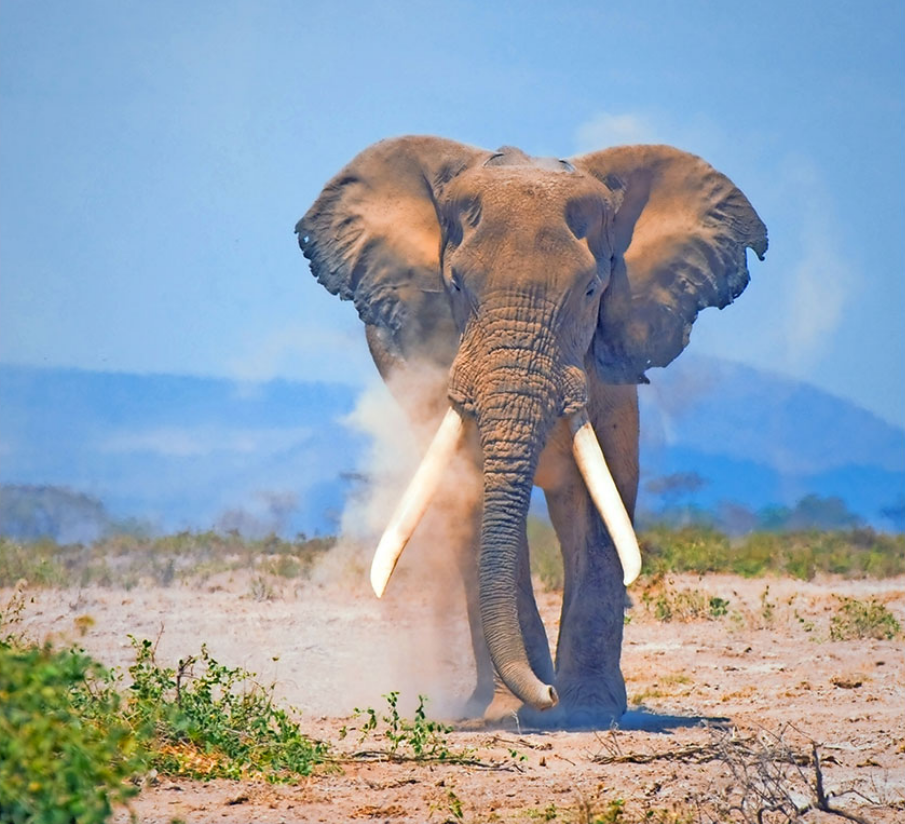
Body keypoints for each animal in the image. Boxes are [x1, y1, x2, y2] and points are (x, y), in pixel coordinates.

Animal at [296, 136, 767, 728]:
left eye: (591, 290)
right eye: (455, 285)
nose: (548, 695)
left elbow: (603, 498)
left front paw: (587, 713)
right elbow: (479, 501)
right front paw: (512, 710)